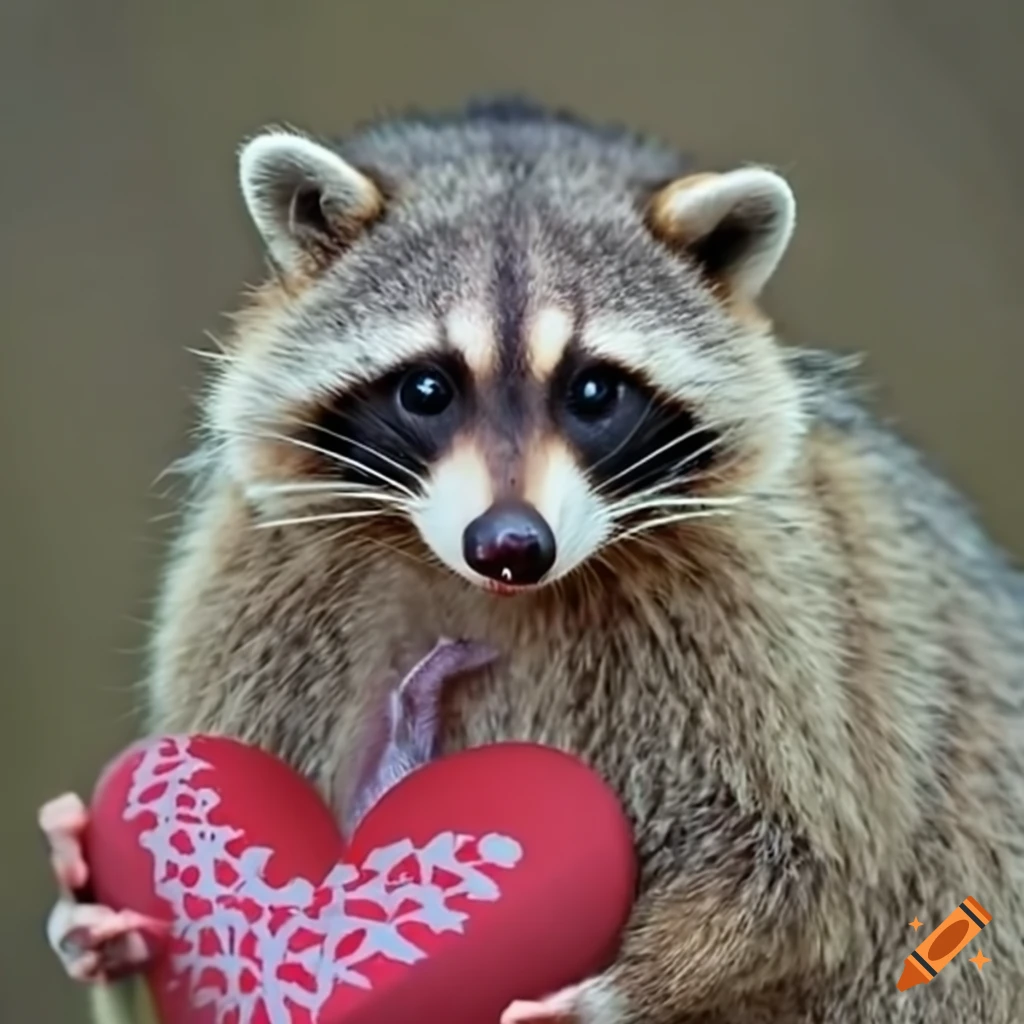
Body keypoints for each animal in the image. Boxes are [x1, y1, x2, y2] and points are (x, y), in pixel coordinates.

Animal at [42, 98, 1024, 1023]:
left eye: (593, 391)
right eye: (427, 389)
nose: (511, 545)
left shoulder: (781, 614)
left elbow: (793, 865)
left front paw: (609, 991)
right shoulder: (254, 588)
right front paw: (95, 919)